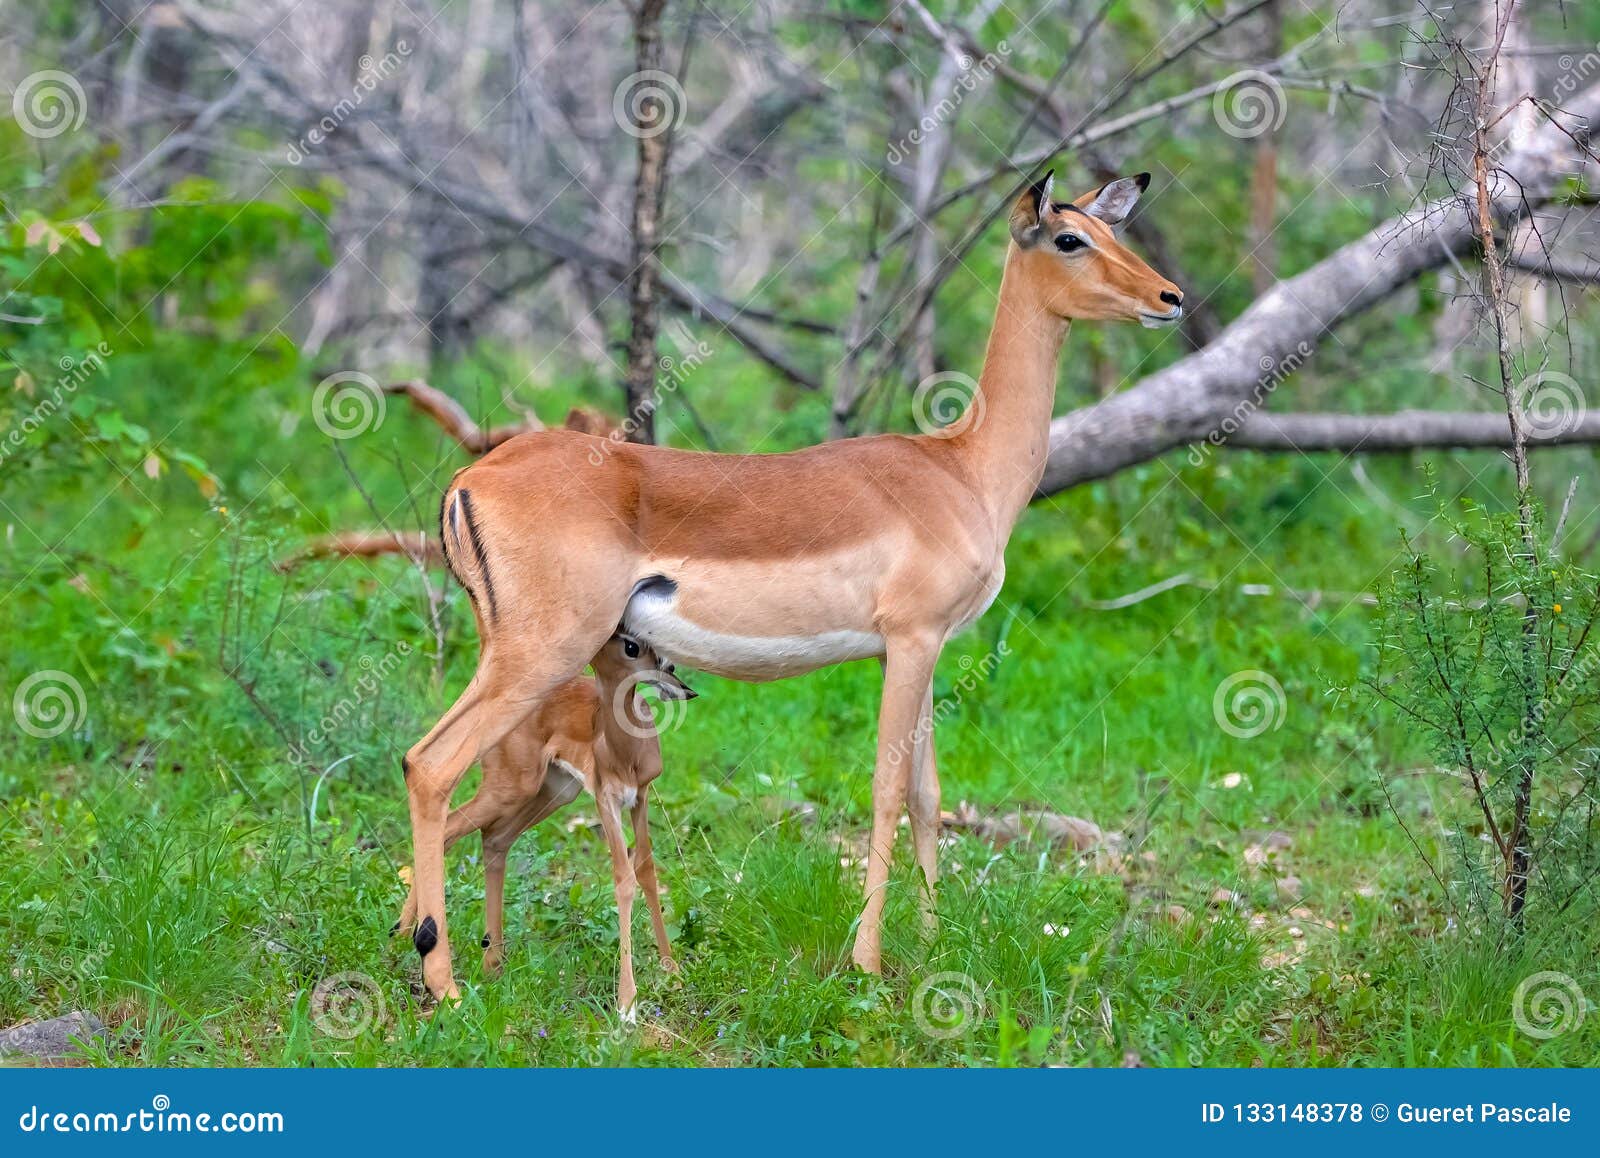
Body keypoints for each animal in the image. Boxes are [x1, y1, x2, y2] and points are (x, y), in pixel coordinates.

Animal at [395, 632, 693, 1013]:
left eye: (633, 645)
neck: (625, 750)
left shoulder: (639, 798)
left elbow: (646, 871)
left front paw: (672, 974)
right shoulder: (605, 800)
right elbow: (623, 878)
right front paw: (627, 1004)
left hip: (551, 792)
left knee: (494, 837)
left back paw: (487, 961)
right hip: (511, 789)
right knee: (451, 826)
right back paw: (410, 941)